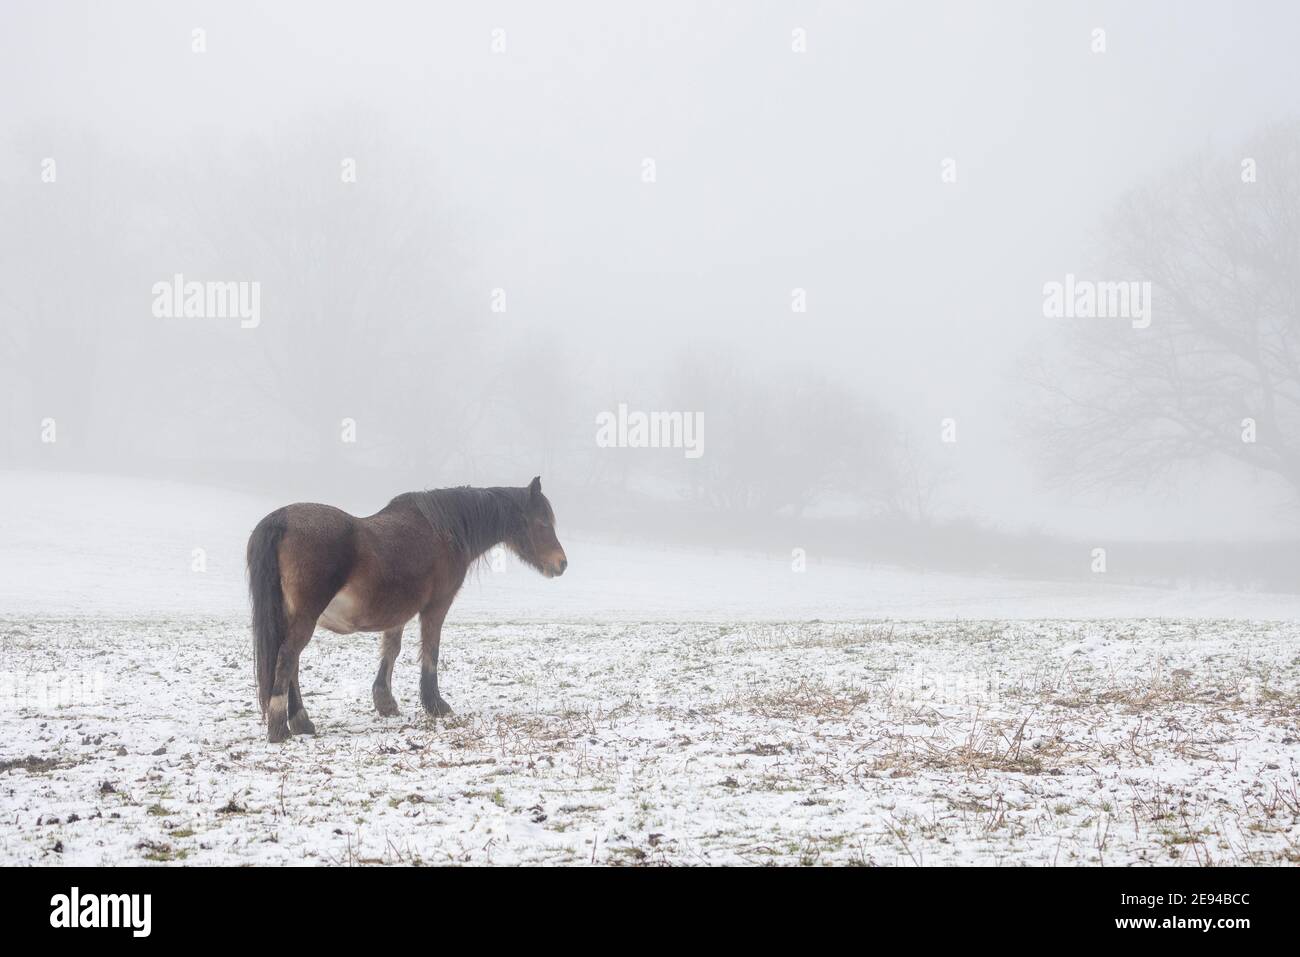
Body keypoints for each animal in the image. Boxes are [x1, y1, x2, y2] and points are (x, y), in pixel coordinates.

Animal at [246, 476, 566, 743]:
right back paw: (280, 729)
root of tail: (281, 520)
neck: (442, 530)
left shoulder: (397, 611)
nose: (561, 564)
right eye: (542, 523)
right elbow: (431, 650)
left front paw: (385, 701)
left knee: (291, 663)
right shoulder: (436, 607)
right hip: (305, 617)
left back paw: (301, 722)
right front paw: (436, 704)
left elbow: (392, 649)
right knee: (287, 658)